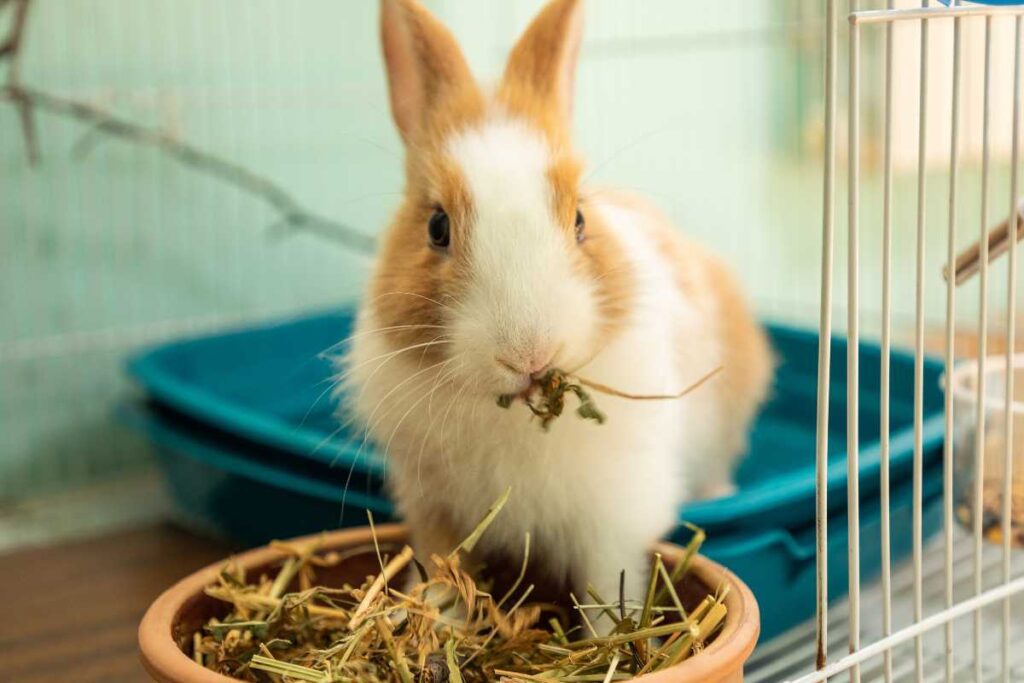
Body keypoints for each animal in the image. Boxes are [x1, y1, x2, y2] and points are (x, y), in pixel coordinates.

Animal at [340, 0, 773, 610]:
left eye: (580, 220)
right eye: (437, 227)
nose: (530, 354)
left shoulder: (611, 521)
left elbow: (607, 595)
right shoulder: (436, 513)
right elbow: (446, 579)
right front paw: (440, 622)